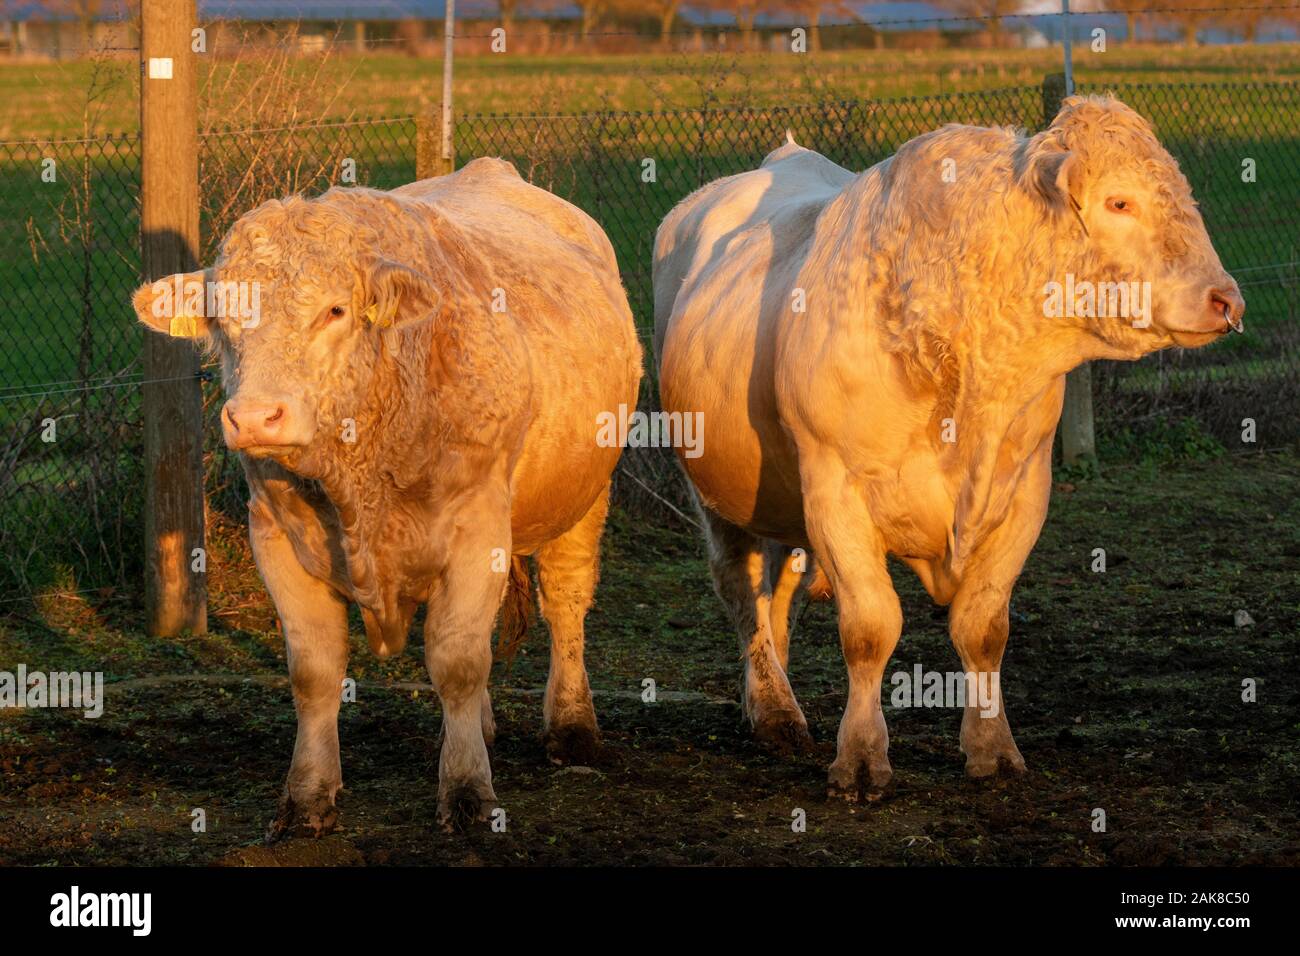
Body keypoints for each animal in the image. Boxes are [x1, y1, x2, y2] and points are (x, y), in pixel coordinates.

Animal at [133, 158, 642, 834]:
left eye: (334, 310)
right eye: (222, 319)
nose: (256, 418)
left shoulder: (479, 531)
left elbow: (458, 662)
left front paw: (467, 789)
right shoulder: (275, 535)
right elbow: (316, 672)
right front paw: (307, 795)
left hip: (584, 497)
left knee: (565, 604)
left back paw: (572, 725)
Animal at [652, 95, 1244, 801]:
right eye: (1119, 202)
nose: (1227, 299)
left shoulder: (1026, 491)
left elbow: (983, 628)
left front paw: (992, 748)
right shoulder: (835, 489)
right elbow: (870, 627)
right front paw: (860, 759)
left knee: (779, 593)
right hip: (714, 488)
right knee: (742, 593)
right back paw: (773, 708)